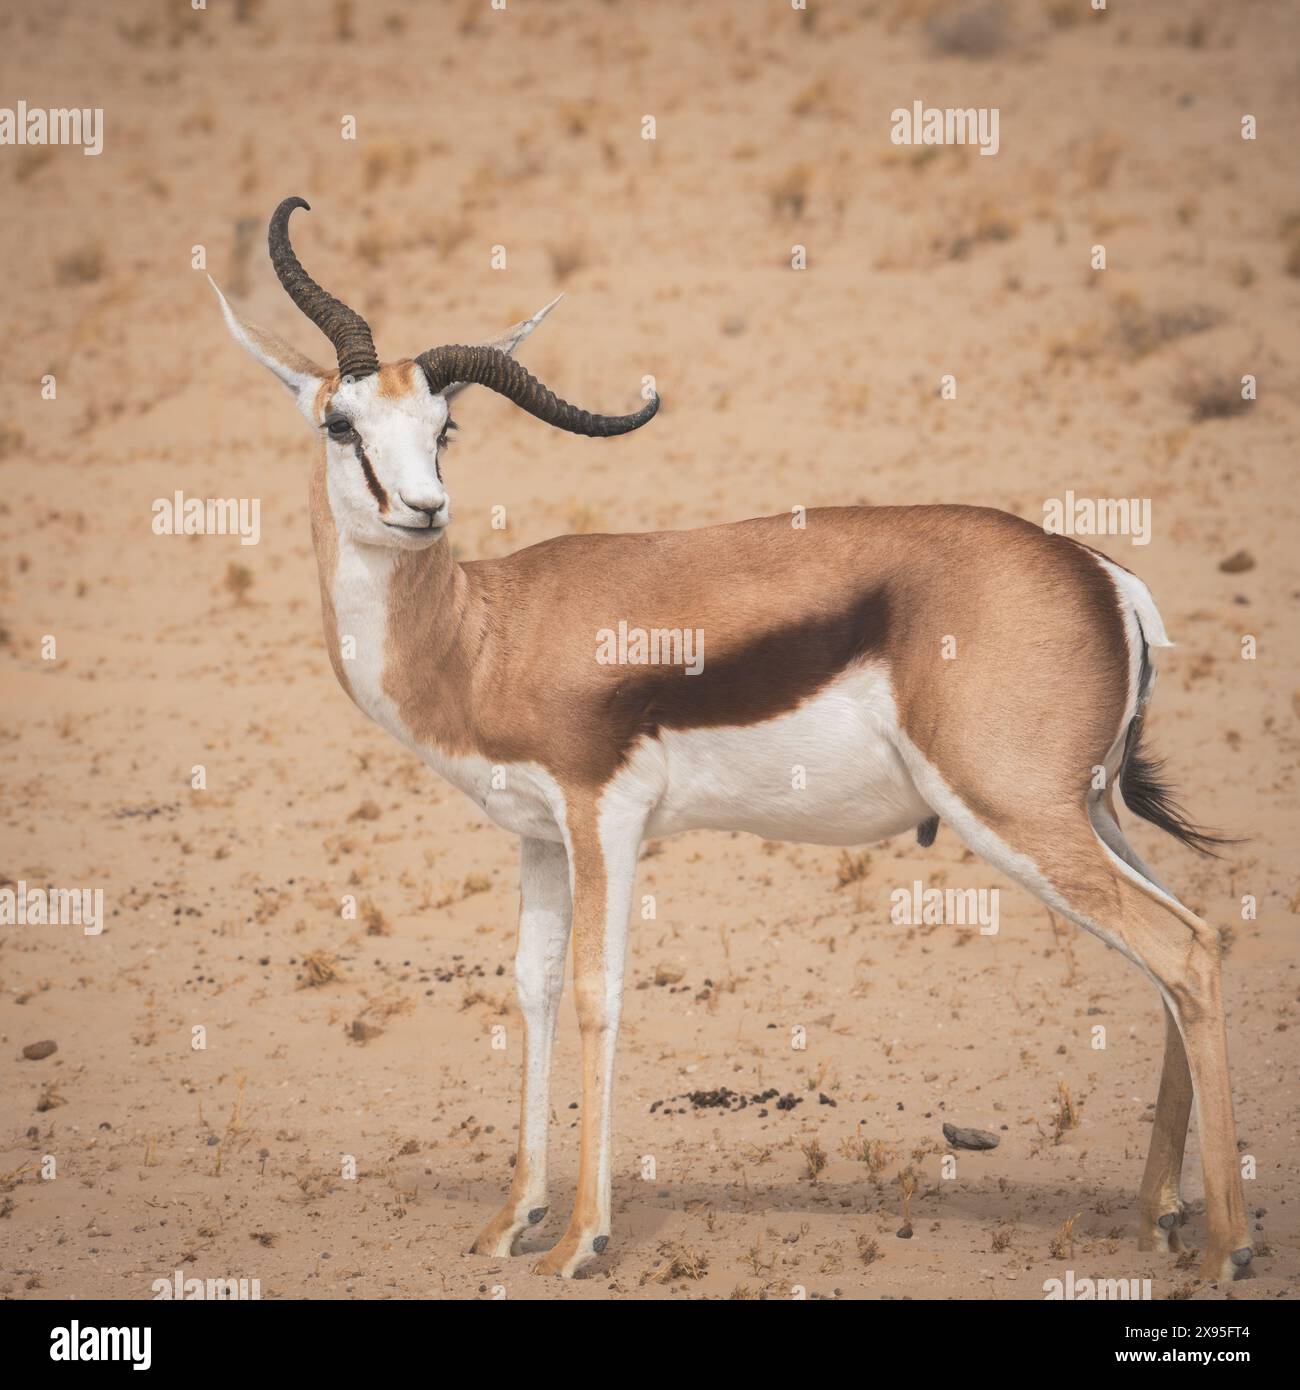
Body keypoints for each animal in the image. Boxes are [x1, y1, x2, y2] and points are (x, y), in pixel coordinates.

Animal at [211, 197, 1252, 1283]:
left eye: (443, 426)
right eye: (341, 422)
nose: (423, 509)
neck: (487, 631)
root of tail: (1101, 575)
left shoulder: (603, 819)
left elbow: (595, 993)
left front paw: (579, 1239)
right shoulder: (539, 836)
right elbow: (533, 991)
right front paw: (509, 1220)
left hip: (1015, 813)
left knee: (1184, 949)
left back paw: (1225, 1243)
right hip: (1086, 814)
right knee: (1187, 945)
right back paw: (1156, 1218)